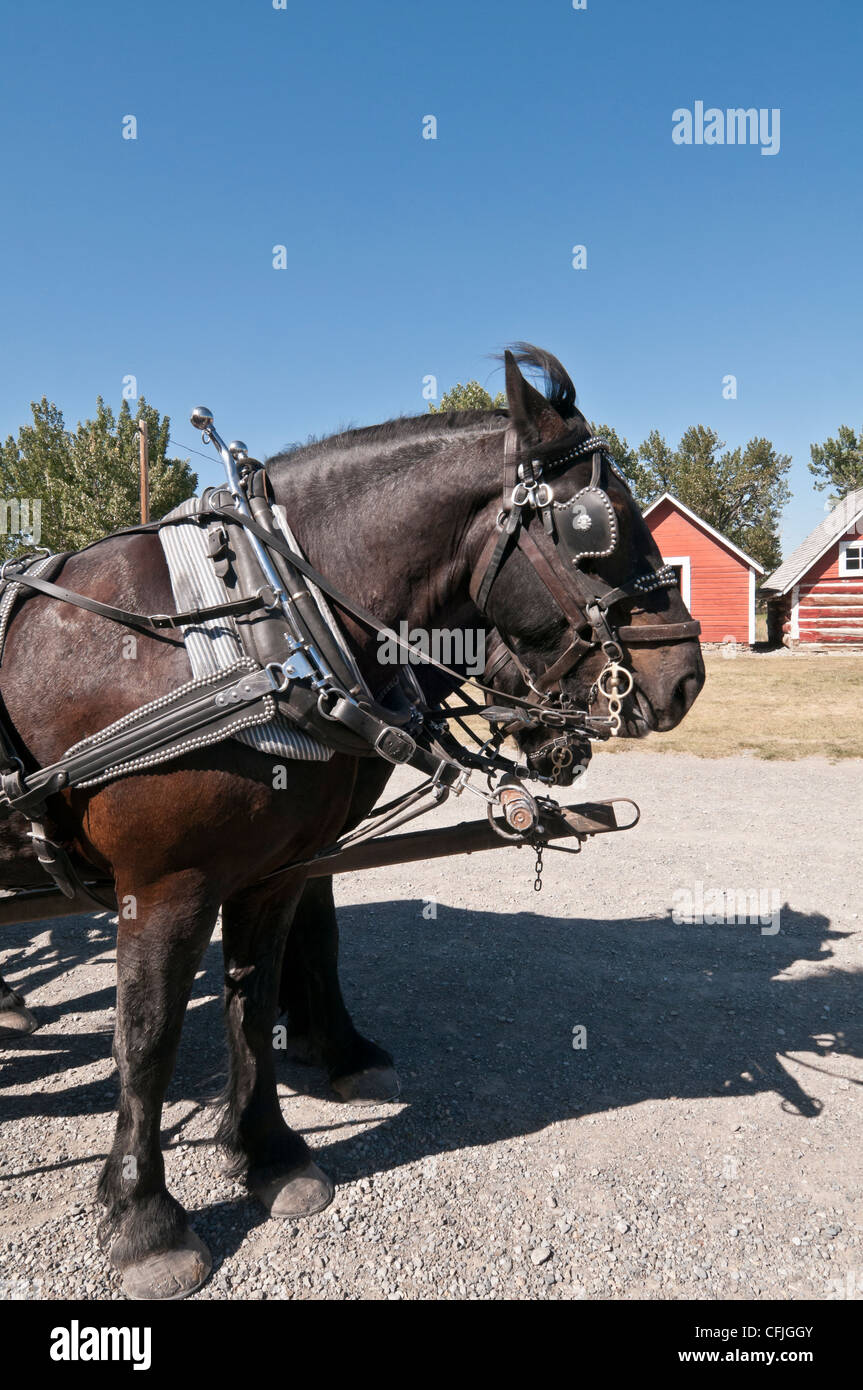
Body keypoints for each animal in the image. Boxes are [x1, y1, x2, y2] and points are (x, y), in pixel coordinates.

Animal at [0, 346, 703, 1298]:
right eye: (600, 523)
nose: (685, 677)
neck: (261, 630)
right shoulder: (164, 886)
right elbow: (146, 1037)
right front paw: (145, 1218)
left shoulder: (277, 868)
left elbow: (256, 997)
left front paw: (271, 1146)